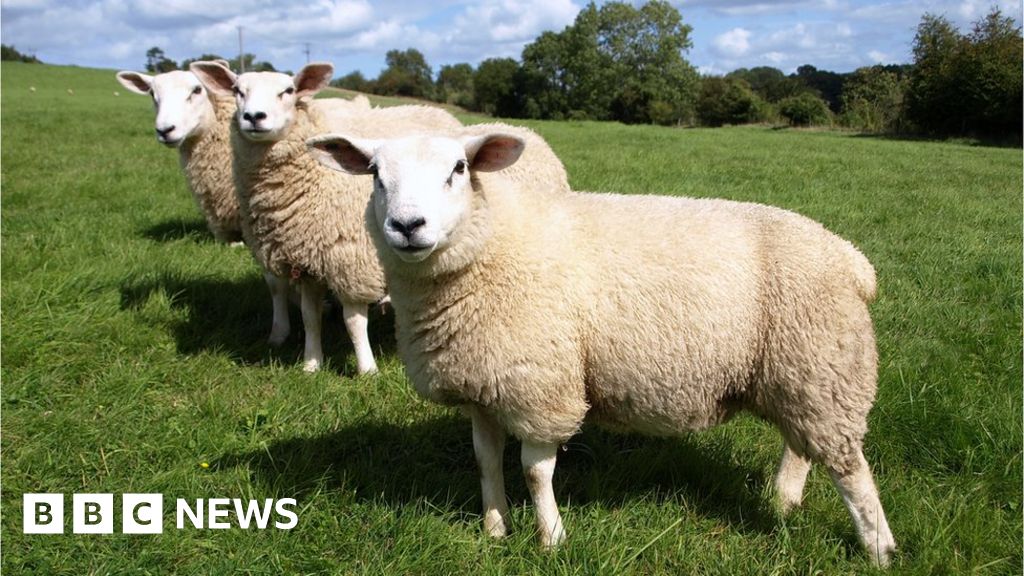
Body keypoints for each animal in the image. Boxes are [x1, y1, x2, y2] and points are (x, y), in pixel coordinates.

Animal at [189, 61, 463, 374]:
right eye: (237, 90)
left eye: (288, 91)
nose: (254, 117)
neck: (314, 180)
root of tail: (434, 110)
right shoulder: (306, 264)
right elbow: (310, 316)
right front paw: (311, 364)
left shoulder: (351, 262)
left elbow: (353, 321)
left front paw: (367, 369)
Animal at [305, 132, 897, 566]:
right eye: (375, 174)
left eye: (458, 169)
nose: (407, 225)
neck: (493, 245)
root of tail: (852, 259)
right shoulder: (483, 384)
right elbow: (486, 460)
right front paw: (496, 528)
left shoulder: (541, 385)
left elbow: (534, 470)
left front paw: (550, 539)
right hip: (799, 372)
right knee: (801, 444)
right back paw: (784, 499)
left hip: (824, 365)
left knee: (849, 468)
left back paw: (878, 547)